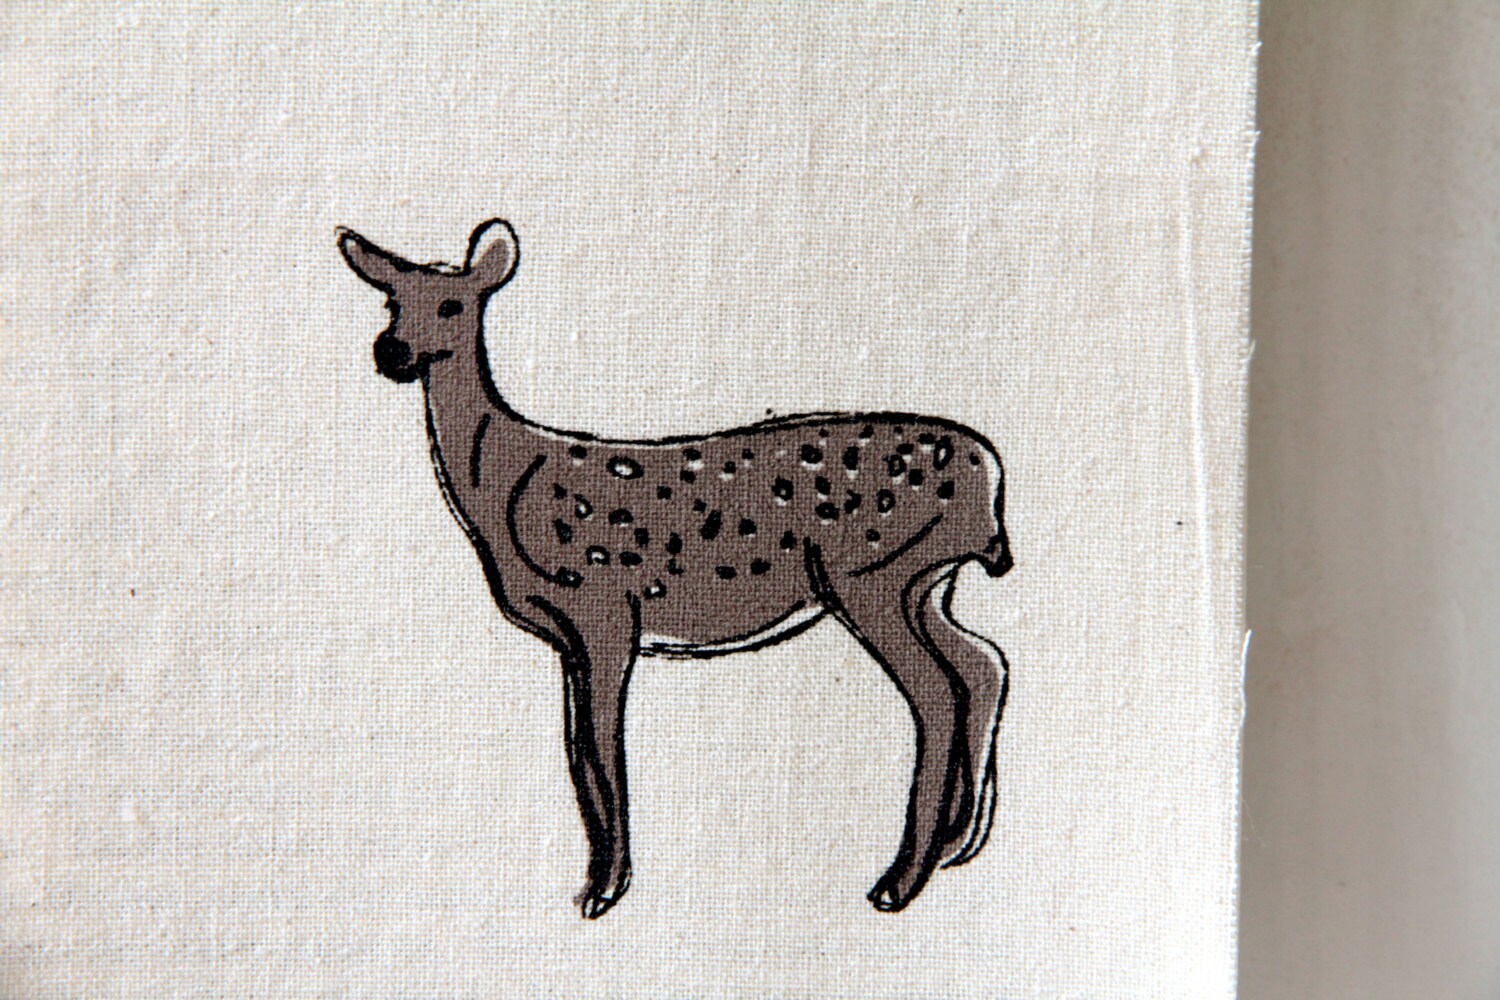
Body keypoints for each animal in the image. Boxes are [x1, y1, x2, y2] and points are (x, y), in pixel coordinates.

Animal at [337, 219, 1013, 919]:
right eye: (390, 301)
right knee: (983, 664)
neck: (504, 487)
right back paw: (959, 844)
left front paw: (604, 890)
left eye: (452, 304)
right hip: (925, 584)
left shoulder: (605, 607)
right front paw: (600, 881)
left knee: (939, 692)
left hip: (871, 574)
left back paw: (897, 883)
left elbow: (601, 751)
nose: (390, 352)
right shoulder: (570, 640)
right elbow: (579, 752)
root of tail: (991, 476)